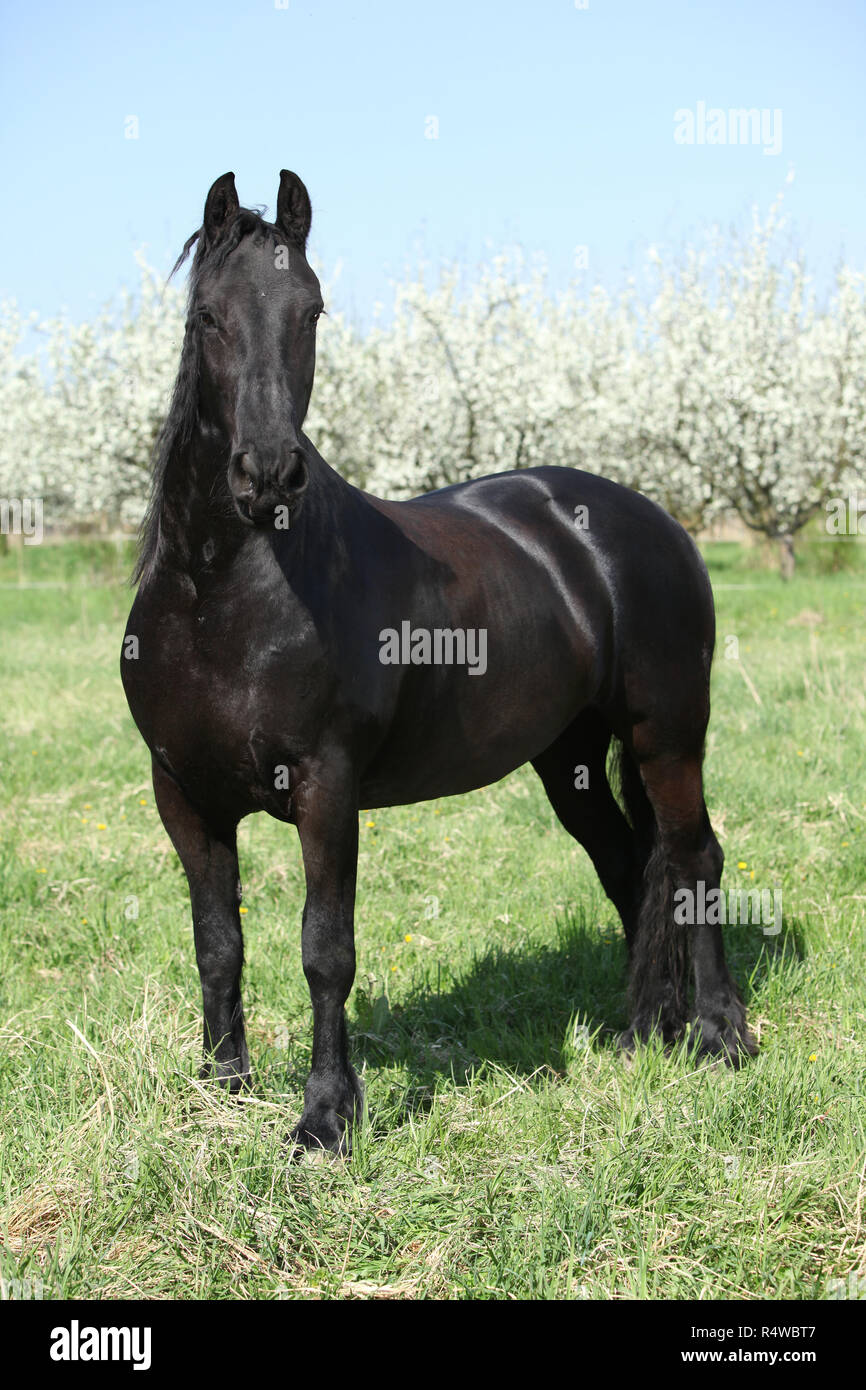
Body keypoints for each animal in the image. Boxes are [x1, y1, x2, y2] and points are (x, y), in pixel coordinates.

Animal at [121, 170, 756, 1156]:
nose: (266, 474)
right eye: (207, 317)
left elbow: (325, 948)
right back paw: (644, 1029)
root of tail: (650, 521)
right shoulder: (183, 794)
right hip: (570, 760)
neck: (218, 592)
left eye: (311, 310)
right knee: (631, 867)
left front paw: (326, 1117)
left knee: (695, 858)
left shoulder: (326, 787)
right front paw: (222, 1088)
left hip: (669, 734)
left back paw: (720, 1032)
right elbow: (216, 941)